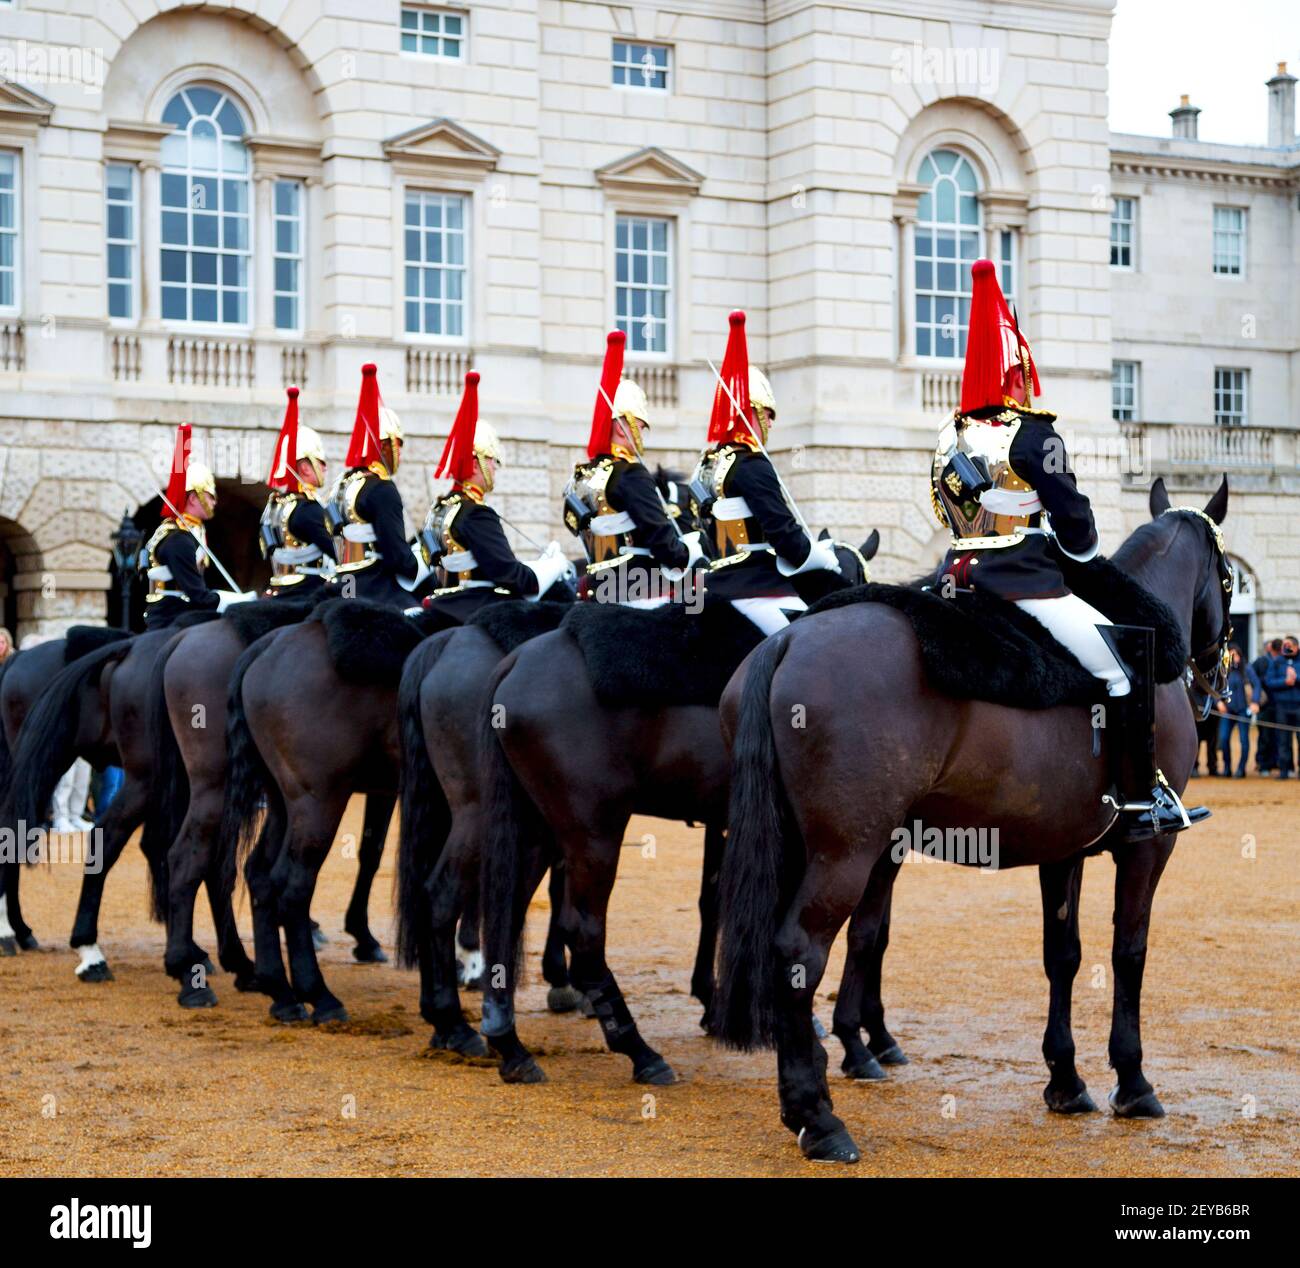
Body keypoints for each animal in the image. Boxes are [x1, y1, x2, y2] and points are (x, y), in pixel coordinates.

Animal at [477, 534, 880, 1086]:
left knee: (507, 910)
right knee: (583, 932)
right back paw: (638, 1050)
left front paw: (722, 1006)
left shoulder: (735, 823)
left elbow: (717, 901)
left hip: (541, 825)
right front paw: (858, 1040)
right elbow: (865, 930)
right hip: (593, 830)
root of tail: (516, 660)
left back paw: (509, 1044)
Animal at [708, 477, 1232, 1162]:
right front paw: (1134, 1081)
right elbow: (1129, 951)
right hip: (846, 853)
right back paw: (820, 1119)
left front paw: (1066, 1081)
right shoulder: (1146, 850)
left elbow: (1063, 955)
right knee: (799, 950)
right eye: (1230, 576)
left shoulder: (1062, 849)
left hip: (799, 846)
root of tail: (788, 638)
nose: (1220, 675)